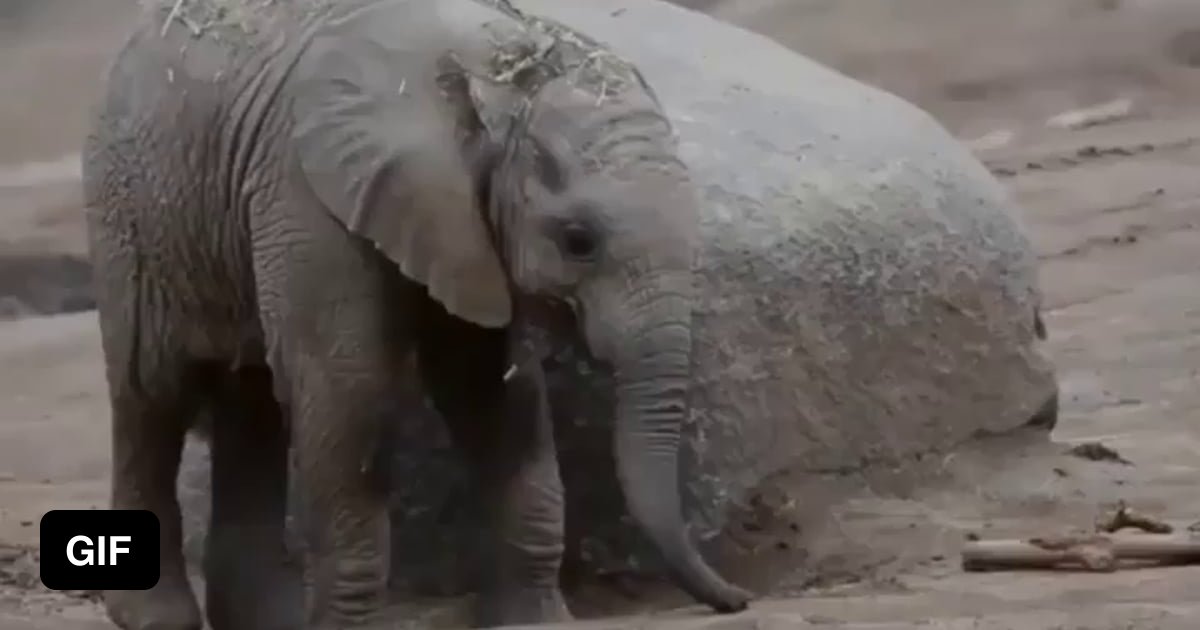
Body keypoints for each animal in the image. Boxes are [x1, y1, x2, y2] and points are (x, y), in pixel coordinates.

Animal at [81, 0, 751, 628]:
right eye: (578, 240)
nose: (738, 600)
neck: (502, 77)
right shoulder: (309, 195)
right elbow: (348, 393)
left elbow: (490, 395)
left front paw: (536, 622)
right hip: (132, 216)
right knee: (154, 391)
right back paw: (156, 618)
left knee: (251, 398)